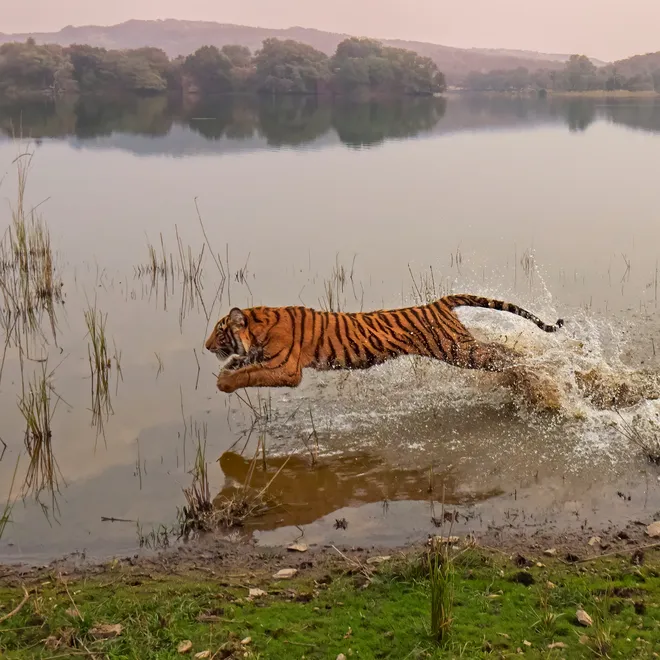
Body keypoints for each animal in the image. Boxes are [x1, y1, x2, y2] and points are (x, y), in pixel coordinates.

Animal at [205, 294, 563, 394]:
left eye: (219, 331)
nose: (206, 346)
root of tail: (439, 303)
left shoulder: (287, 368)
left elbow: (251, 374)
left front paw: (224, 383)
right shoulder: (264, 356)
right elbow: (243, 364)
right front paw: (225, 372)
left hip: (458, 349)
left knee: (502, 353)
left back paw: (531, 371)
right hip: (460, 347)